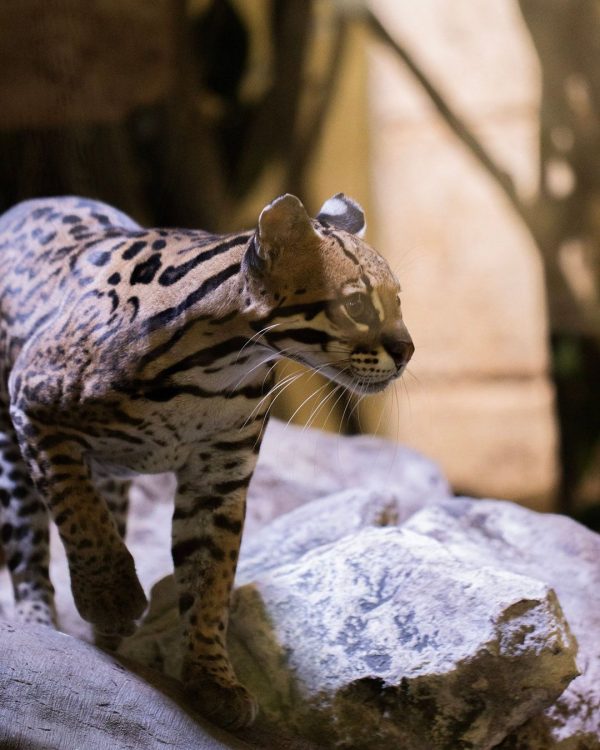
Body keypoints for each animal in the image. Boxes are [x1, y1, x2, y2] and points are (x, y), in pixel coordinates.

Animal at [0, 192, 414, 728]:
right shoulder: (32, 404)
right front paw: (110, 597)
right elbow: (79, 513)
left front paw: (212, 676)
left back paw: (112, 642)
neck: (220, 364)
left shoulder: (218, 476)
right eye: (357, 305)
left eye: (399, 302)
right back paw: (45, 623)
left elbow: (210, 578)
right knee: (30, 545)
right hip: (12, 455)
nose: (407, 351)